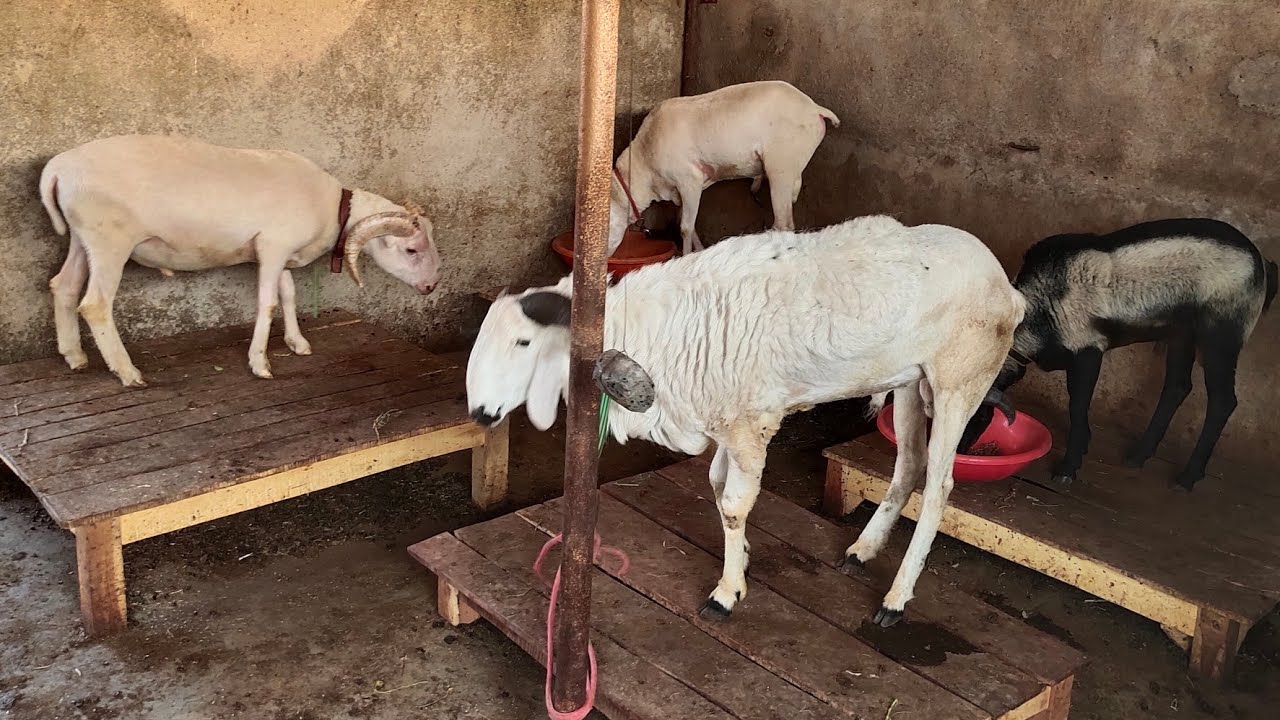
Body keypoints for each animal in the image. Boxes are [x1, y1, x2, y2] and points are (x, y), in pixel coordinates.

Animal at [39, 134, 442, 387]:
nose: (431, 286)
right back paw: (127, 373)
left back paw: (74, 355)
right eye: (412, 250)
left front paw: (297, 343)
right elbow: (267, 304)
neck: (332, 209)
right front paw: (260, 363)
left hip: (82, 238)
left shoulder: (278, 253)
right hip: (110, 241)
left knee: (64, 286)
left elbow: (288, 295)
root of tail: (56, 170)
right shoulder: (274, 246)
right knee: (95, 305)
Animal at [466, 215, 1025, 627]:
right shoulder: (722, 422)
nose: (479, 412)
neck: (653, 329)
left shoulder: (749, 425)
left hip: (959, 381)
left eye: (524, 342)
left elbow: (734, 505)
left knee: (939, 487)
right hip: (910, 379)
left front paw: (727, 591)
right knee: (908, 465)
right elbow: (717, 488)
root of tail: (1009, 289)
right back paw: (864, 549)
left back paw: (896, 598)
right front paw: (744, 558)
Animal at [607, 80, 840, 257]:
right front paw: (699, 251)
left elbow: (685, 228)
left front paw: (685, 256)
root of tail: (816, 110)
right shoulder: (681, 191)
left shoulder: (689, 180)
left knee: (784, 223)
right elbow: (688, 224)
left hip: (781, 163)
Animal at [961, 218, 1277, 490]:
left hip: (1221, 337)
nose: (961, 451)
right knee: (1177, 386)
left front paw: (1068, 467)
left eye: (976, 416)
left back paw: (1187, 477)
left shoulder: (1088, 350)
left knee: (1222, 401)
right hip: (1181, 335)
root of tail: (1263, 263)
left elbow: (1077, 407)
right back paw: (1138, 456)